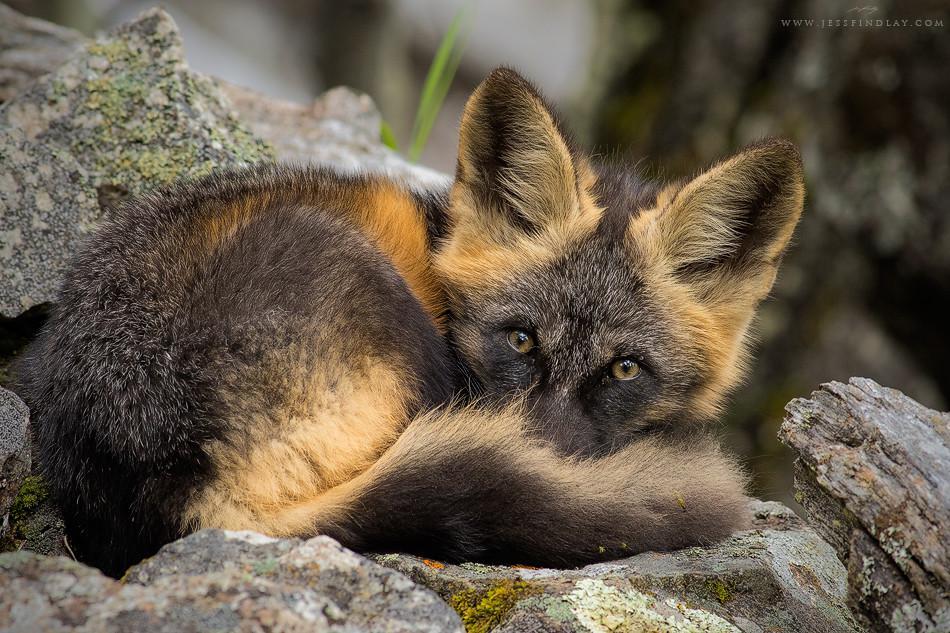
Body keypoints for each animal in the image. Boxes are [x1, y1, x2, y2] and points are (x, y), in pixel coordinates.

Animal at [15, 68, 804, 578]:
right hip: (384, 314)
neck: (435, 246)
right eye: (521, 338)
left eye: (625, 368)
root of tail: (180, 490)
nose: (550, 459)